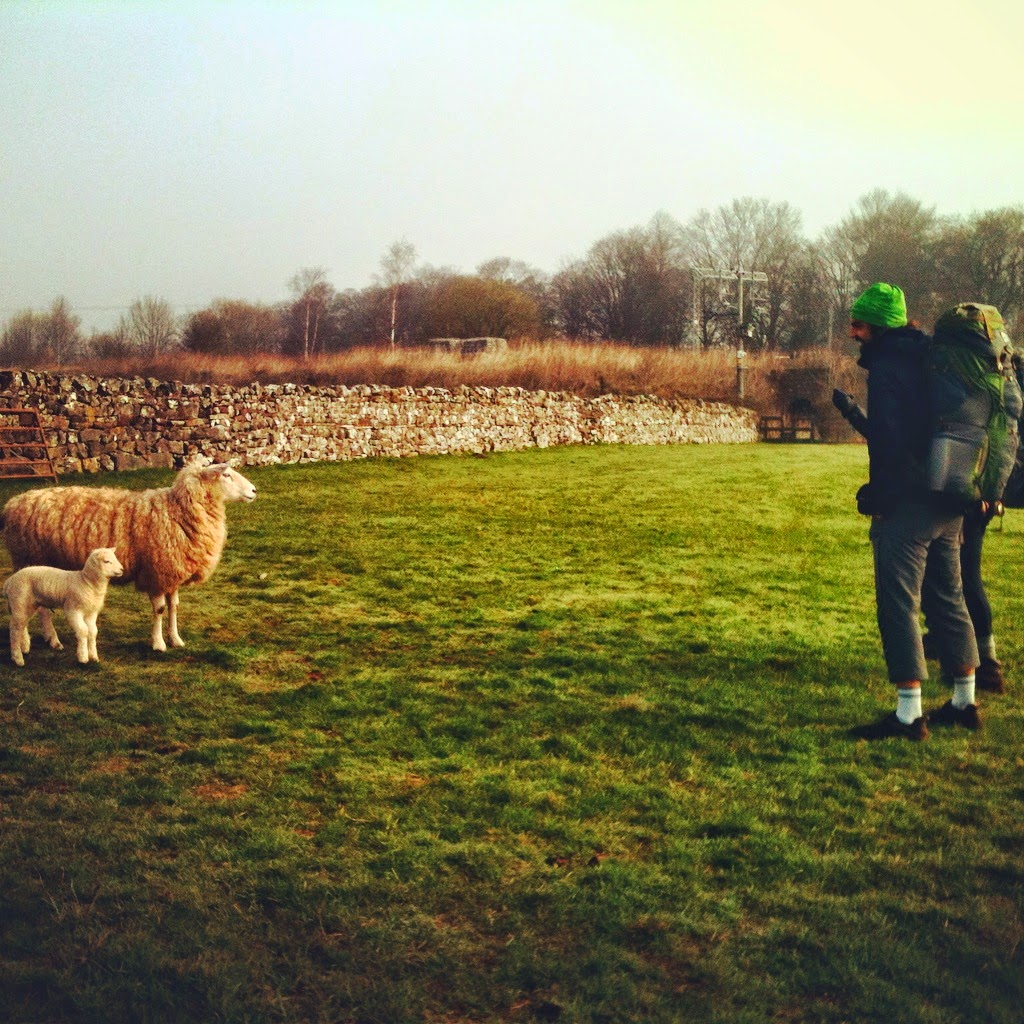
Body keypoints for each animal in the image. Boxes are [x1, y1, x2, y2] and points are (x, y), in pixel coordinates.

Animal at [1, 460, 256, 652]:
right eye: (226, 474)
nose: (254, 490)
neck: (176, 511)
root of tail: (12, 504)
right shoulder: (156, 572)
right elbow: (160, 609)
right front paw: (158, 643)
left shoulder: (172, 573)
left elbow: (174, 606)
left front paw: (176, 639)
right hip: (30, 560)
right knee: (37, 608)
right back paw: (45, 640)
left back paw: (48, 639)